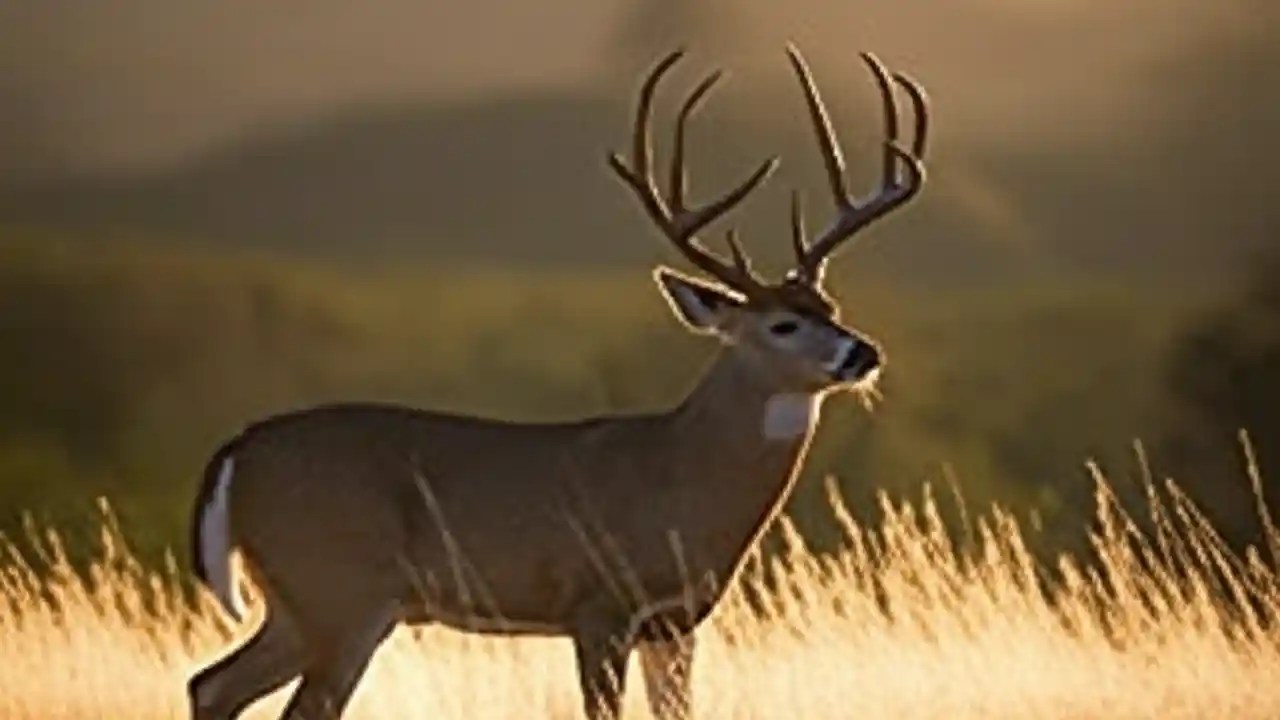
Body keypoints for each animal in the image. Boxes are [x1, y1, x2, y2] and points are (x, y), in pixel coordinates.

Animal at [186, 45, 928, 720]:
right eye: (781, 324)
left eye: (830, 308)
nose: (863, 353)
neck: (681, 479)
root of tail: (237, 451)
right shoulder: (598, 606)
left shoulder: (676, 622)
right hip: (340, 592)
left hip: (300, 604)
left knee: (211, 685)